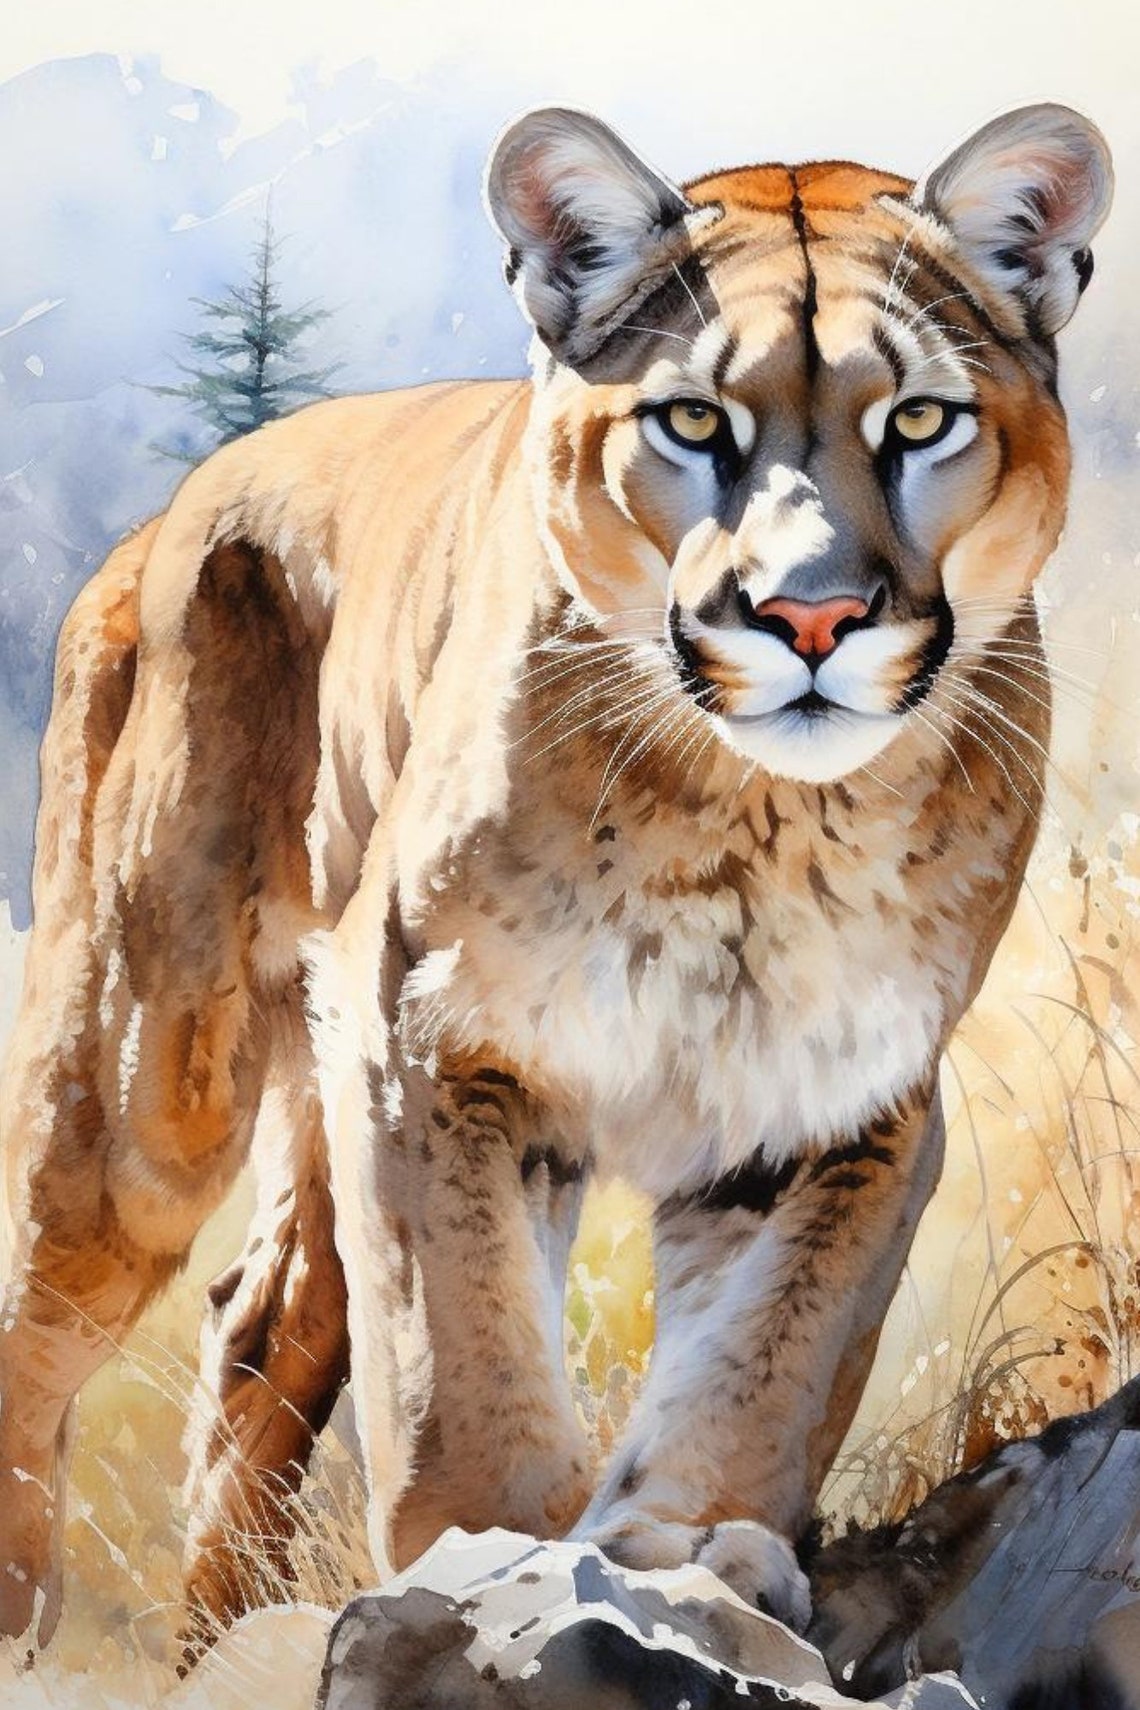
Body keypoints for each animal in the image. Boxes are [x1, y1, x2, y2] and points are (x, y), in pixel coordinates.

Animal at [0, 102, 1113, 1645]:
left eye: (920, 419)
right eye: (693, 419)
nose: (810, 615)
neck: (752, 826)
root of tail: (169, 515)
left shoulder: (843, 1102)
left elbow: (769, 1356)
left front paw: (689, 1554)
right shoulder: (423, 1031)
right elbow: (461, 1357)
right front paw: (489, 1565)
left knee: (265, 1317)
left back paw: (220, 1638)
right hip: (148, 1067)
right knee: (45, 1309)